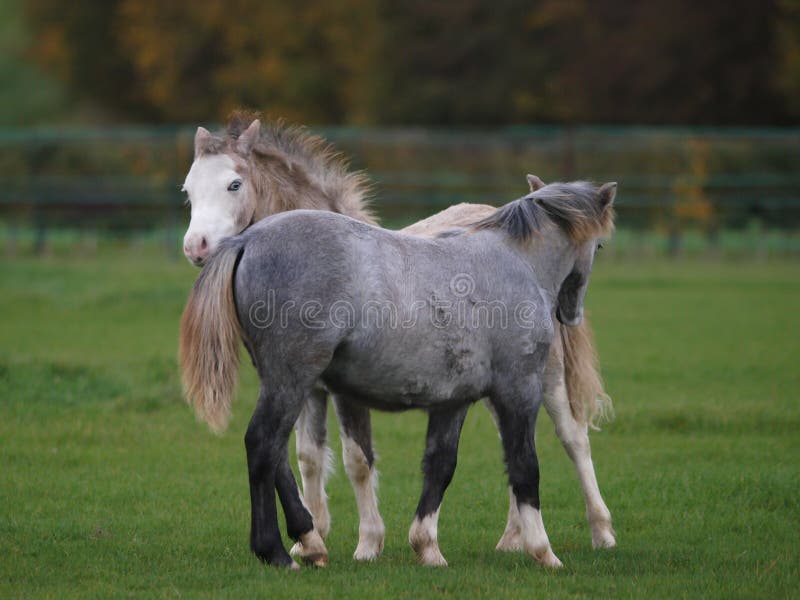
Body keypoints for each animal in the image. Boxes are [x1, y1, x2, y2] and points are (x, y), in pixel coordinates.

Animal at [179, 114, 616, 561]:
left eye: (234, 184)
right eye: (189, 191)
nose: (197, 248)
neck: (513, 259)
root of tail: (247, 240)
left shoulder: (438, 396)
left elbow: (422, 462)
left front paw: (384, 543)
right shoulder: (510, 388)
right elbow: (520, 463)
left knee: (573, 438)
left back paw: (587, 532)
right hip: (291, 381)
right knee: (263, 444)